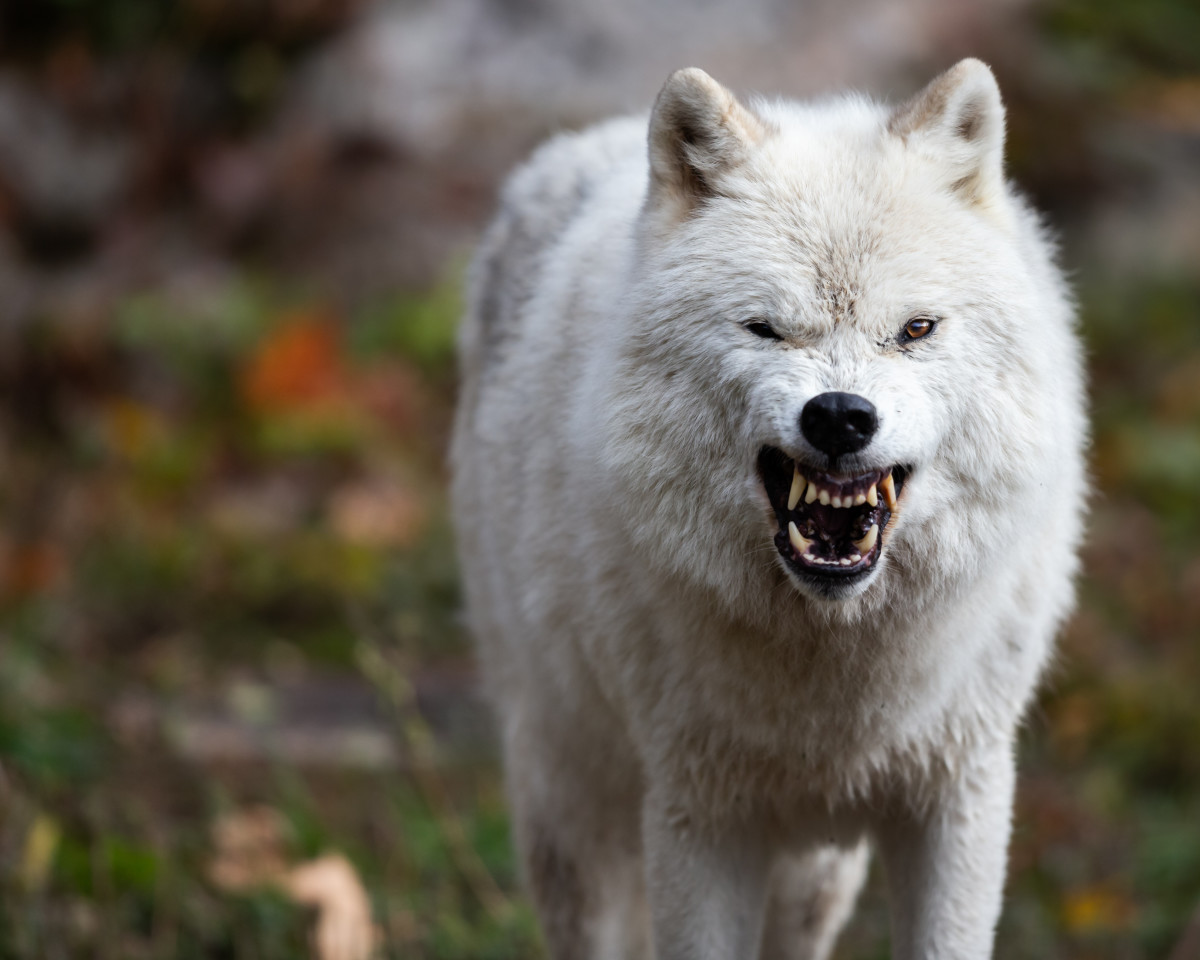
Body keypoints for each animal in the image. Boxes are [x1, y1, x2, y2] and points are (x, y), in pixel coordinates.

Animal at [451, 59, 1086, 960]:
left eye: (915, 329)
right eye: (764, 328)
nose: (840, 415)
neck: (834, 680)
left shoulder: (958, 798)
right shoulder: (698, 815)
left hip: (815, 877)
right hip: (570, 800)